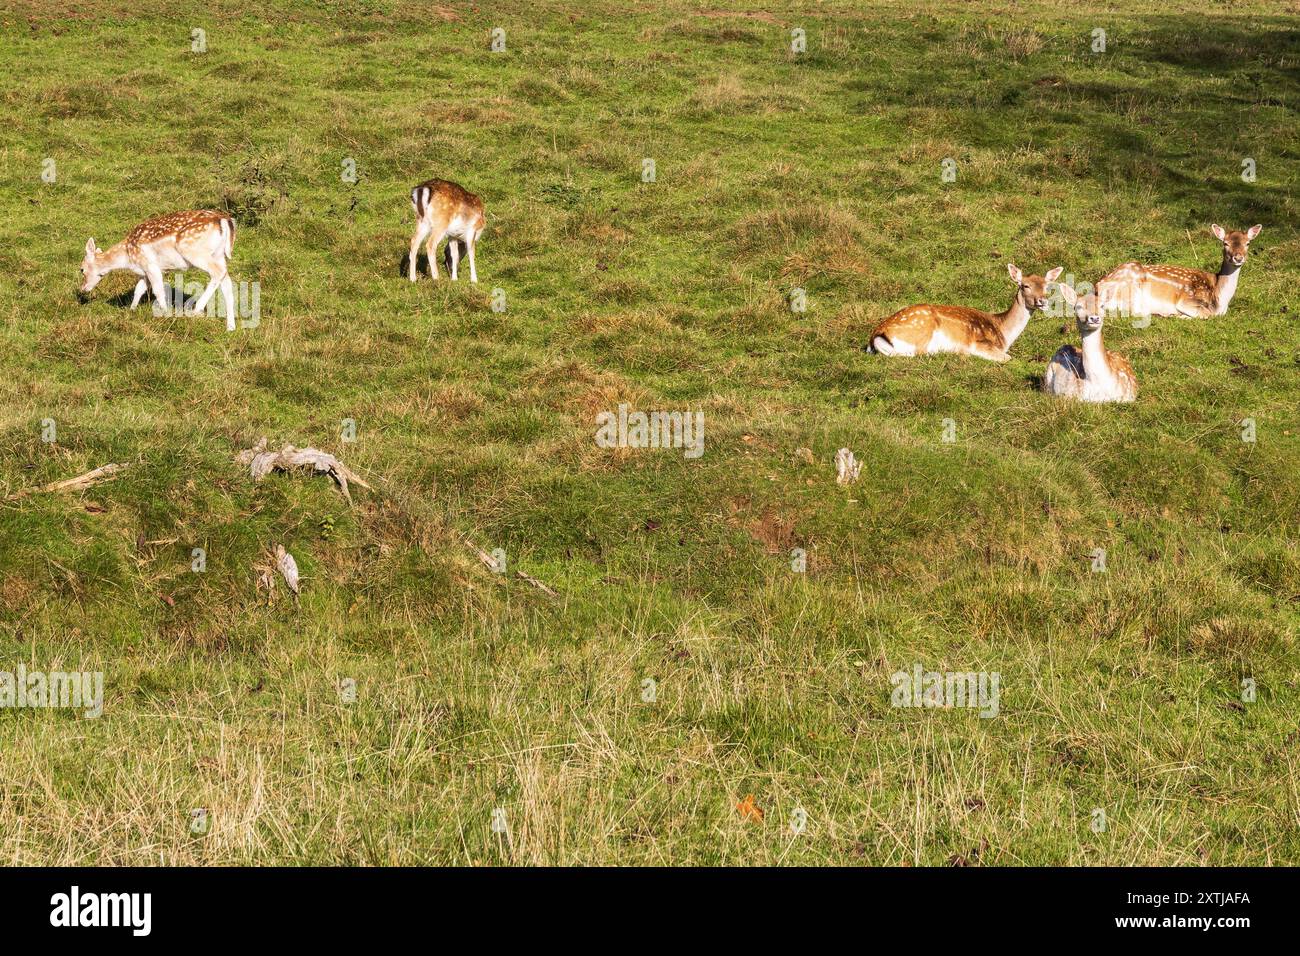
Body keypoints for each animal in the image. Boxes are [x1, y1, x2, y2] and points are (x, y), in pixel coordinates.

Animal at [79, 210, 237, 330]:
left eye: (81, 269)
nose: (83, 288)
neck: (127, 256)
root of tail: (224, 220)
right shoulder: (144, 272)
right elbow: (139, 289)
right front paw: (132, 310)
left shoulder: (151, 266)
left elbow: (158, 290)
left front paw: (166, 314)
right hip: (219, 255)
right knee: (227, 281)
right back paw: (230, 326)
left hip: (194, 251)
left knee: (217, 273)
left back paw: (196, 309)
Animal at [869, 264, 1063, 361]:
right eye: (1025, 286)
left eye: (1047, 286)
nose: (1042, 301)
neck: (1003, 334)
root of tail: (876, 335)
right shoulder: (980, 343)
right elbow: (1007, 358)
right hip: (921, 332)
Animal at [1097, 224, 1262, 321]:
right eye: (1225, 243)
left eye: (1248, 243)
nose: (1238, 257)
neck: (1220, 300)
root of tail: (1099, 285)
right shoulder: (1186, 300)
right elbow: (1207, 314)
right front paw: (1181, 316)